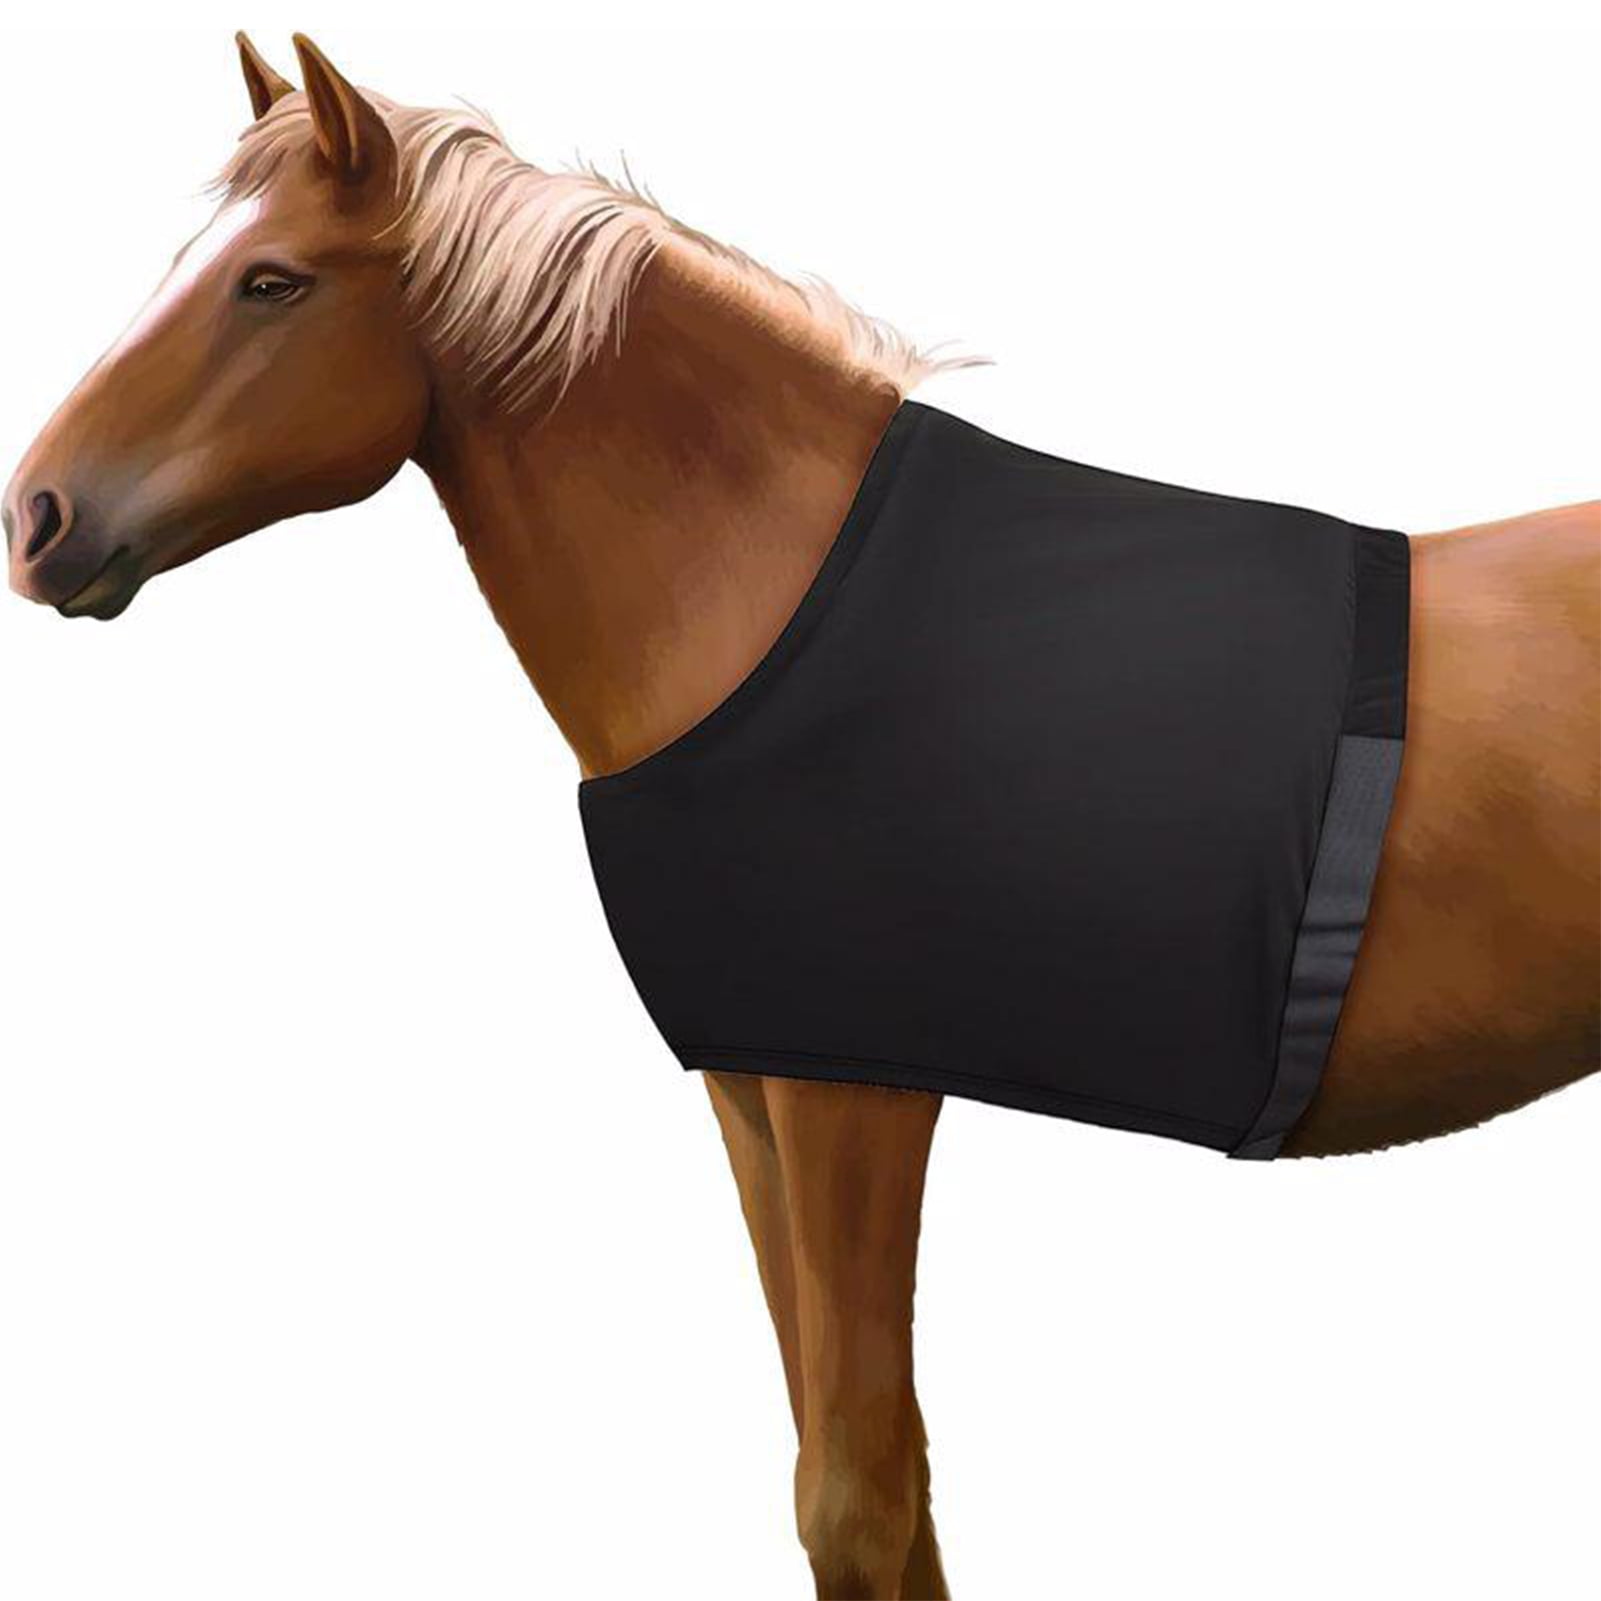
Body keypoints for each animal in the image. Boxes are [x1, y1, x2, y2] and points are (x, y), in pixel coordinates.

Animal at [5, 33, 1596, 1601]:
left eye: (271, 281)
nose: (38, 518)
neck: (769, 602)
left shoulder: (856, 1097)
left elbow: (854, 1499)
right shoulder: (754, 1093)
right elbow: (873, 1484)